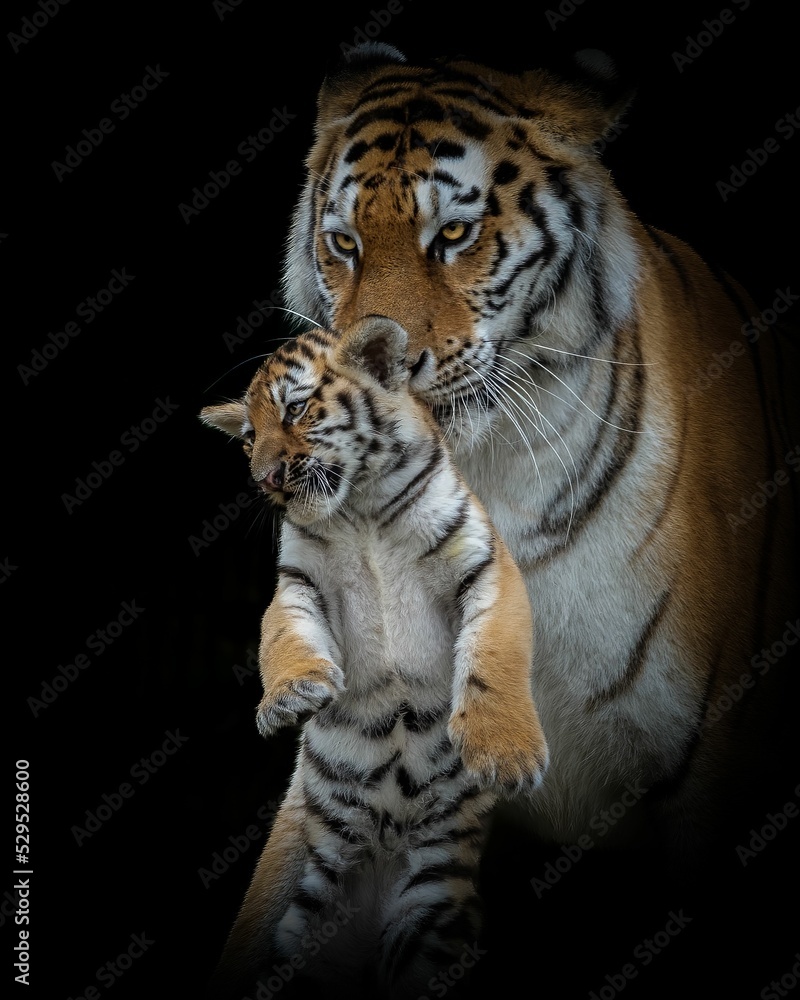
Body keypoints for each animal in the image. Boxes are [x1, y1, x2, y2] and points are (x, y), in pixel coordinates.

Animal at [200, 315, 548, 999]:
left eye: (297, 409)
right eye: (249, 438)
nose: (265, 478)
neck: (360, 509)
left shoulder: (486, 566)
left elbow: (496, 654)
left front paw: (507, 755)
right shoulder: (297, 584)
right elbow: (281, 639)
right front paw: (289, 697)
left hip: (432, 910)